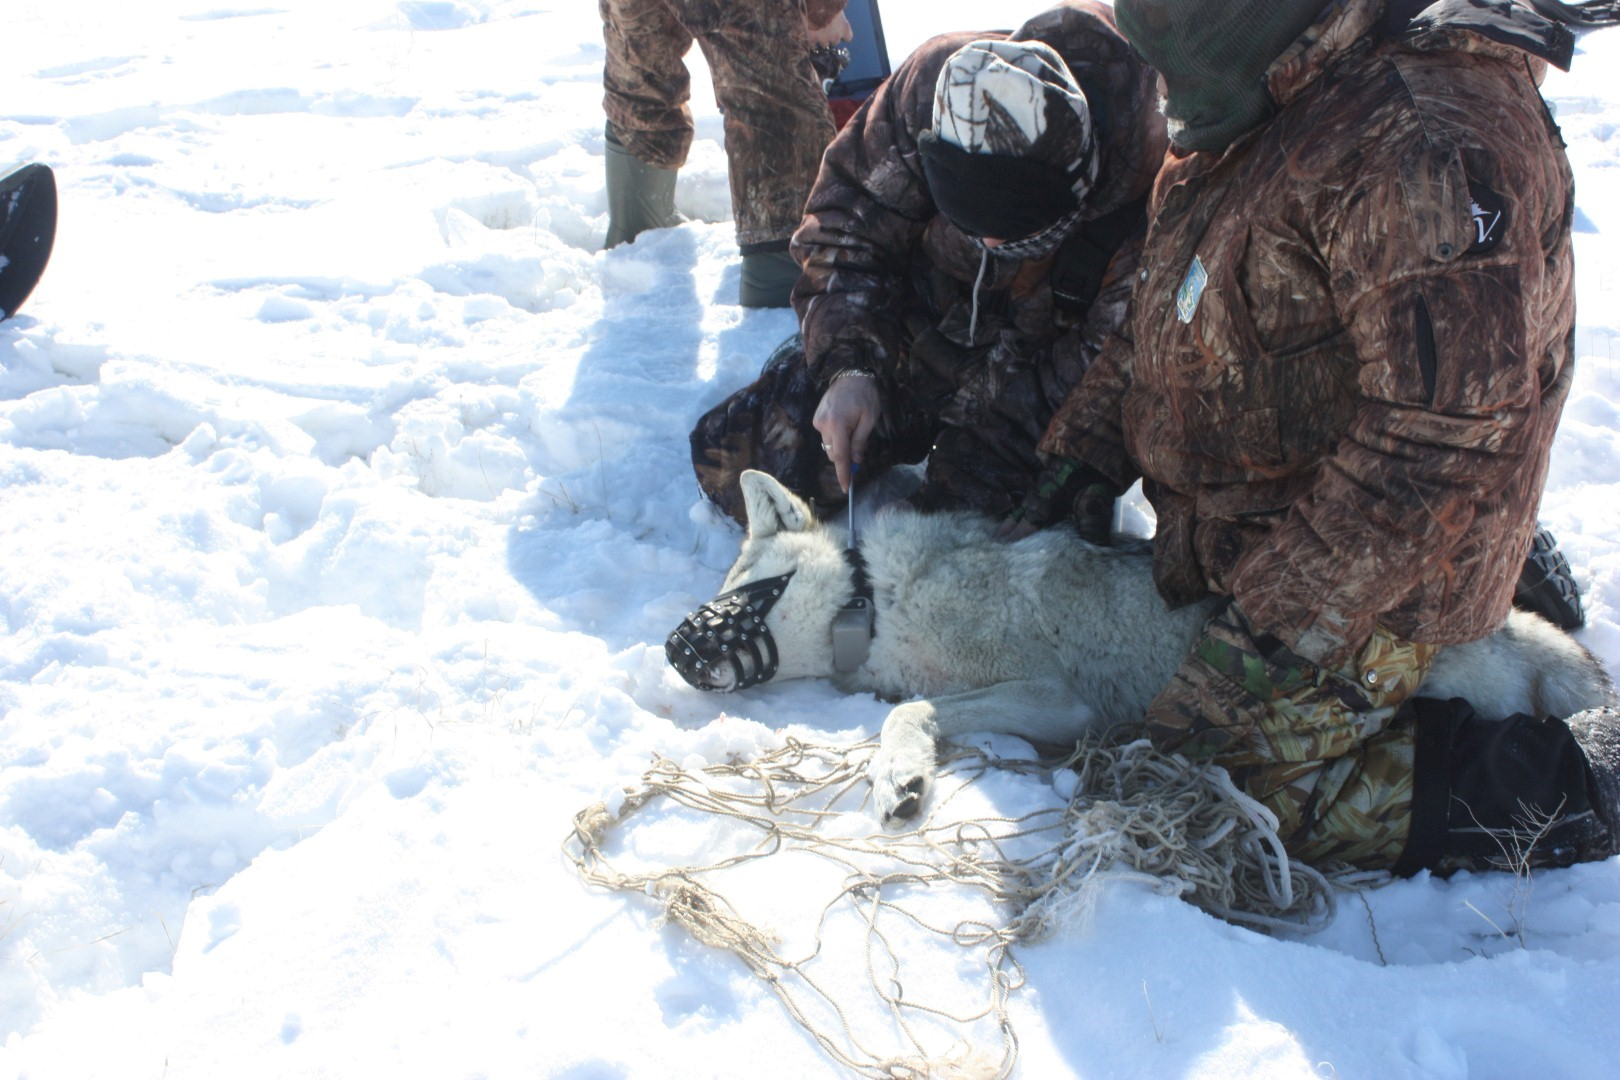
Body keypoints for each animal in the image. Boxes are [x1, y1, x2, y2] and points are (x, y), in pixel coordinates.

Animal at [667, 471, 1614, 827]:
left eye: (747, 587)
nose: (676, 649)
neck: (877, 605)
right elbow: (912, 705)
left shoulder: (1058, 701)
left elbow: (908, 711)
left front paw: (899, 779)